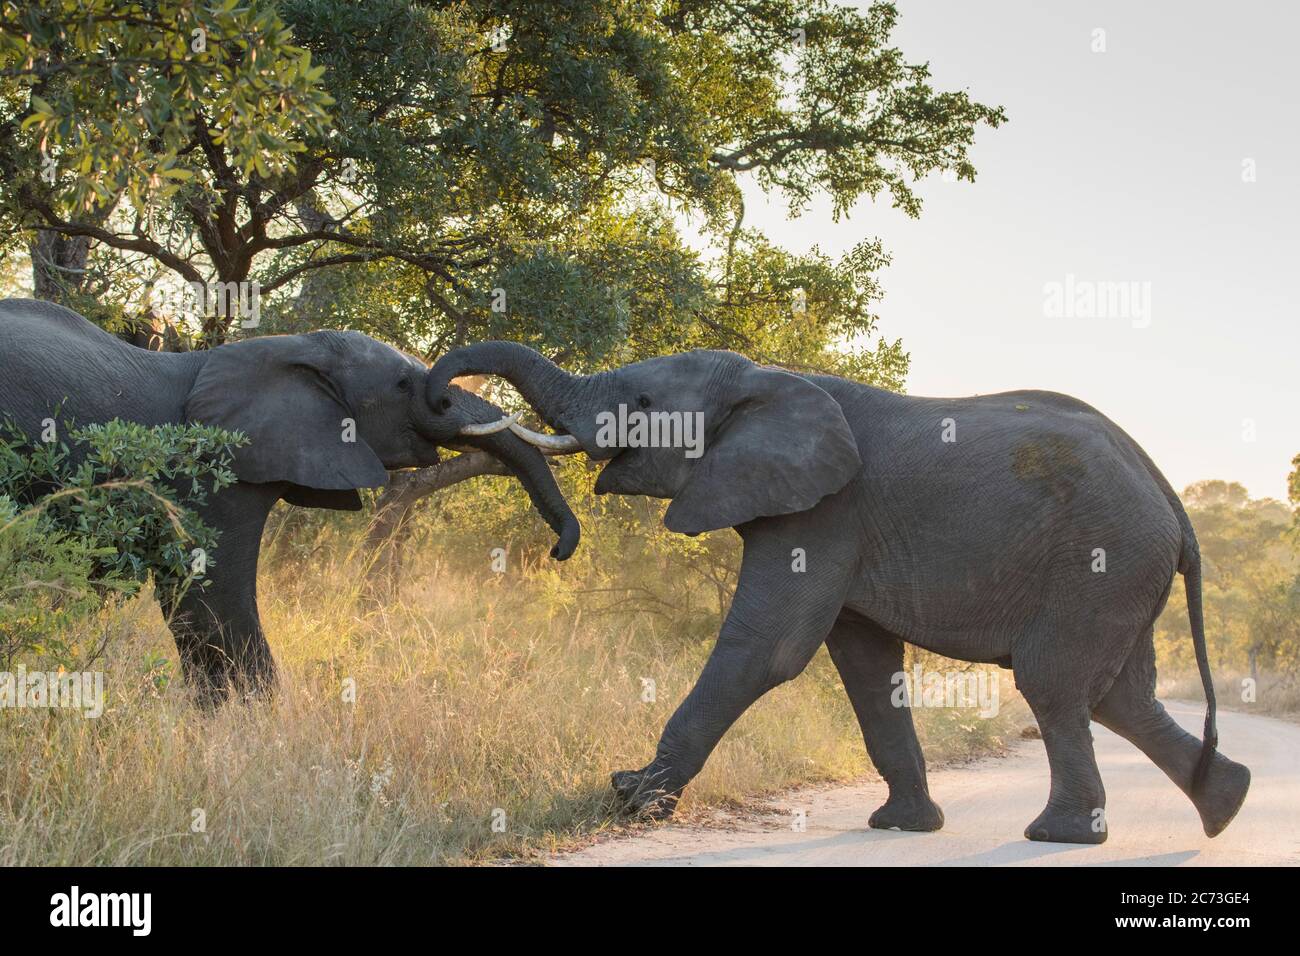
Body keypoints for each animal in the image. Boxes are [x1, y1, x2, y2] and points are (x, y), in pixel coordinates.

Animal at [0, 298, 579, 703]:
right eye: (401, 383)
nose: (559, 551)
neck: (288, 348)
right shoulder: (213, 472)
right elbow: (211, 597)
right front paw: (251, 726)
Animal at [424, 340, 1251, 845]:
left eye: (646, 403)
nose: (432, 397)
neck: (764, 379)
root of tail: (1172, 500)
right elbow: (864, 667)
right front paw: (903, 826)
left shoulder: (823, 511)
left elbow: (769, 651)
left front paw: (631, 799)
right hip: (1121, 569)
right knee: (1117, 695)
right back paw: (1227, 804)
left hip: (1101, 560)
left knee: (1055, 684)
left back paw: (1059, 835)